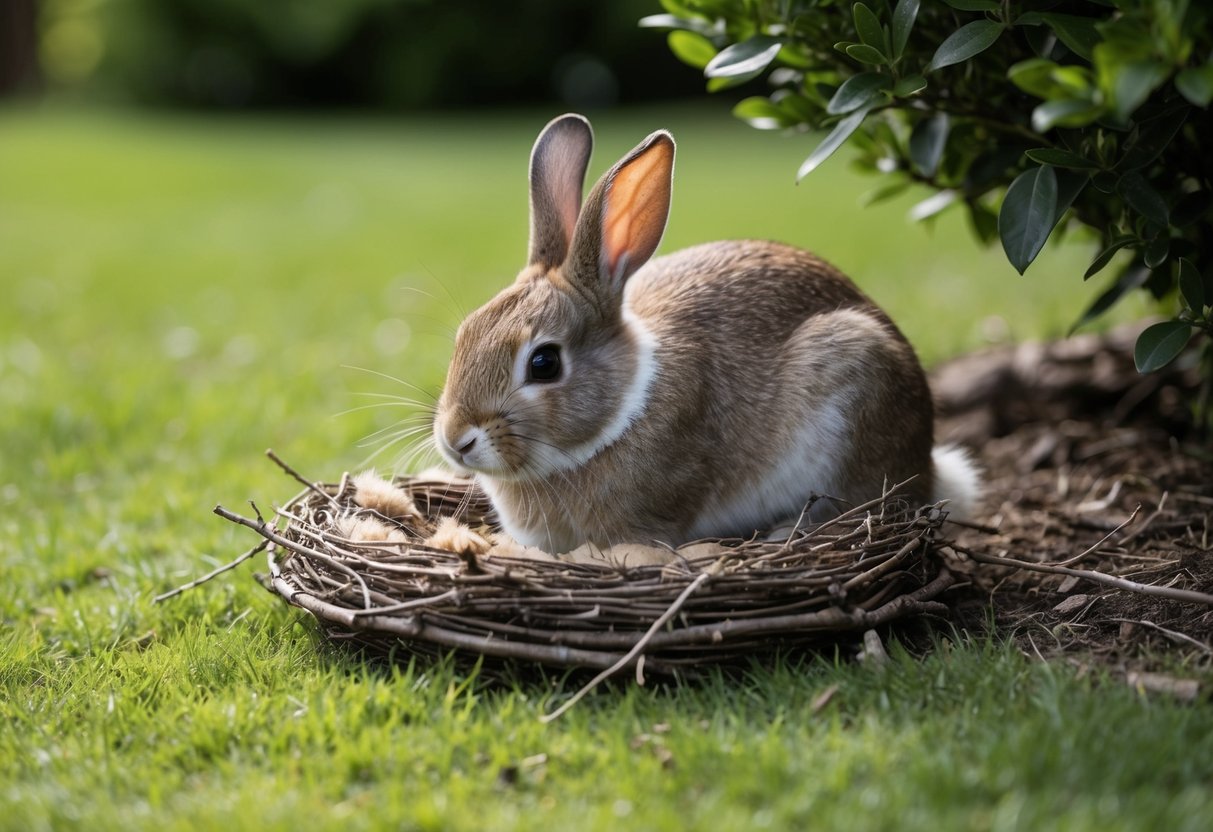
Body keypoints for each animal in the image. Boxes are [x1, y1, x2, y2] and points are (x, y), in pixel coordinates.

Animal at [431, 113, 980, 554]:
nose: (456, 440)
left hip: (855, 382)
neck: (623, 407)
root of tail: (928, 463)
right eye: (464, 335)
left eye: (544, 363)